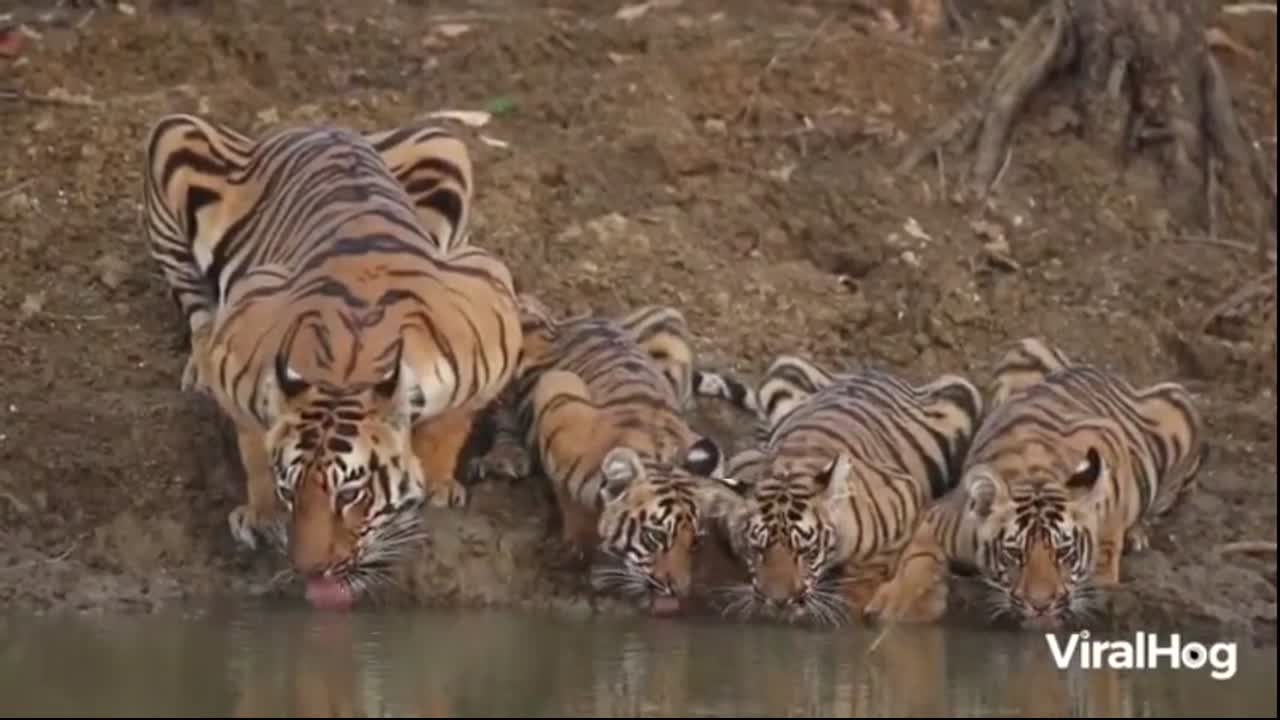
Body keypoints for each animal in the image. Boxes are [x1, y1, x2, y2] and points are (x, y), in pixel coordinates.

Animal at [142, 113, 523, 610]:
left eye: (351, 494)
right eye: (289, 489)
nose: (310, 570)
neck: (347, 367)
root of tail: (317, 126)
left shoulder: (492, 306)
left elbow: (451, 424)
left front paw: (439, 485)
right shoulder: (243, 332)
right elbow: (253, 445)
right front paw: (262, 514)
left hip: (446, 144)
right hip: (173, 135)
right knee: (197, 309)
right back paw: (198, 369)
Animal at [475, 294, 740, 616]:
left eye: (695, 543)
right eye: (656, 537)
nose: (680, 590)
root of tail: (574, 319)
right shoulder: (558, 392)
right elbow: (568, 498)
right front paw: (575, 544)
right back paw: (507, 456)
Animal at [690, 354, 984, 626]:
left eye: (804, 552)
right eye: (758, 550)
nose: (779, 601)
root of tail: (869, 369)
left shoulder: (907, 500)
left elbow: (872, 569)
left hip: (961, 392)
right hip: (784, 369)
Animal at [863, 338, 1208, 630]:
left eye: (1063, 552)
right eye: (1015, 554)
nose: (1040, 605)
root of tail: (1097, 369)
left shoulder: (1108, 444)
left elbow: (1107, 542)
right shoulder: (939, 517)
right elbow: (916, 561)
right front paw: (895, 605)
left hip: (1180, 405)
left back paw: (1137, 533)